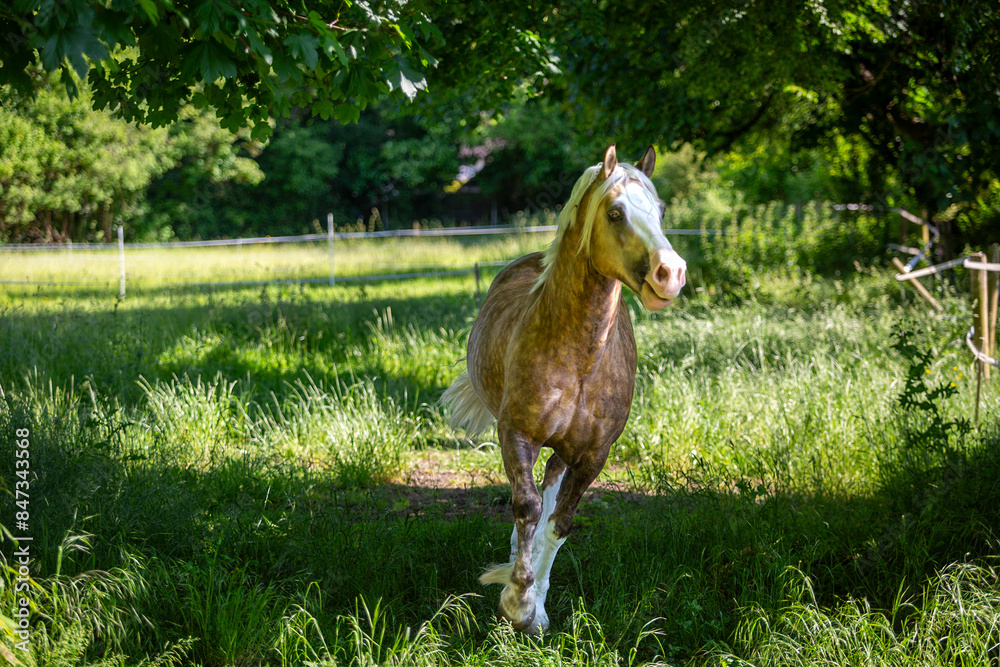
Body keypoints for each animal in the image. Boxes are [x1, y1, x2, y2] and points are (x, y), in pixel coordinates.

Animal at [441, 145, 687, 633]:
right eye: (615, 212)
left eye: (662, 210)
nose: (670, 272)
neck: (581, 361)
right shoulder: (517, 434)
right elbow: (527, 508)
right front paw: (516, 602)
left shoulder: (594, 454)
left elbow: (559, 523)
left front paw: (534, 608)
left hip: (566, 451)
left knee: (550, 491)